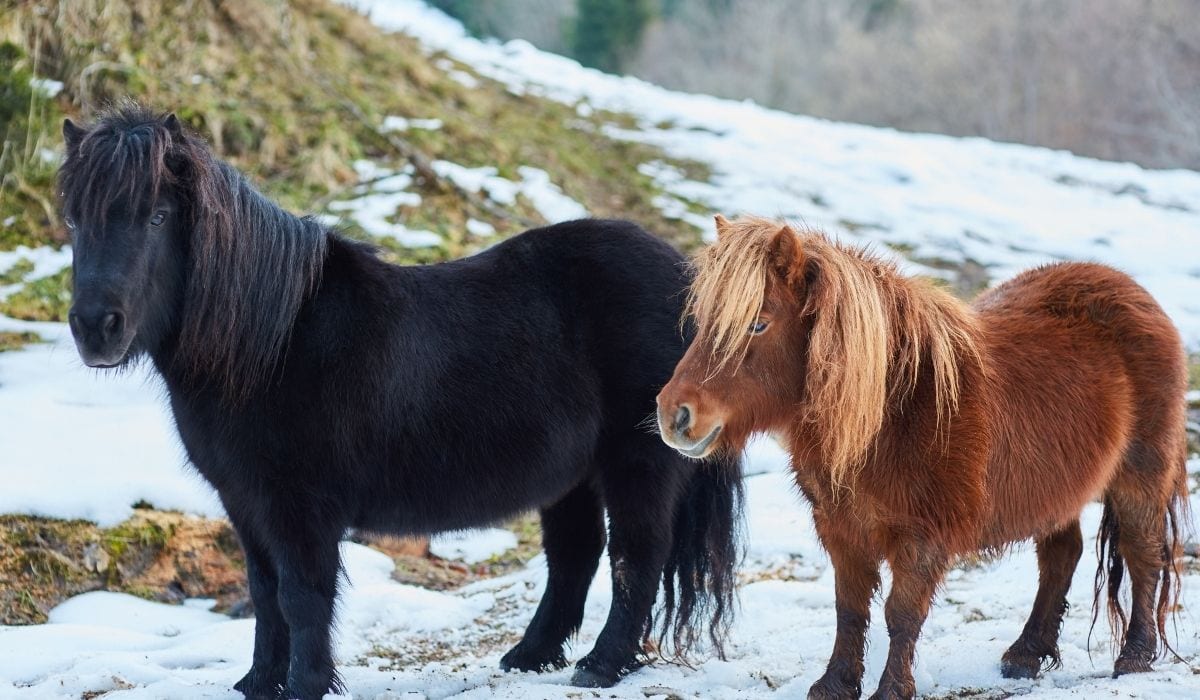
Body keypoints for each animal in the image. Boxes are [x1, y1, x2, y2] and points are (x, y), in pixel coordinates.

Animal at [58, 106, 743, 700]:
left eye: (157, 216)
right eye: (74, 221)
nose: (96, 328)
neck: (273, 343)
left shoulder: (299, 509)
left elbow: (301, 597)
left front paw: (305, 686)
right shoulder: (246, 504)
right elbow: (264, 594)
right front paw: (257, 684)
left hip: (637, 464)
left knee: (636, 557)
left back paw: (601, 665)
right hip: (571, 477)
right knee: (575, 556)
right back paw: (530, 657)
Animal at [656, 215, 1189, 699]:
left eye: (758, 323)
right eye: (703, 322)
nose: (674, 415)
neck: (897, 412)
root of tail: (1132, 290)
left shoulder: (921, 538)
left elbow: (901, 614)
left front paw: (892, 690)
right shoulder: (841, 529)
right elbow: (849, 609)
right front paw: (834, 686)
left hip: (1140, 477)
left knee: (1143, 555)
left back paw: (1135, 656)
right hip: (1058, 490)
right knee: (1062, 557)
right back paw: (1025, 655)